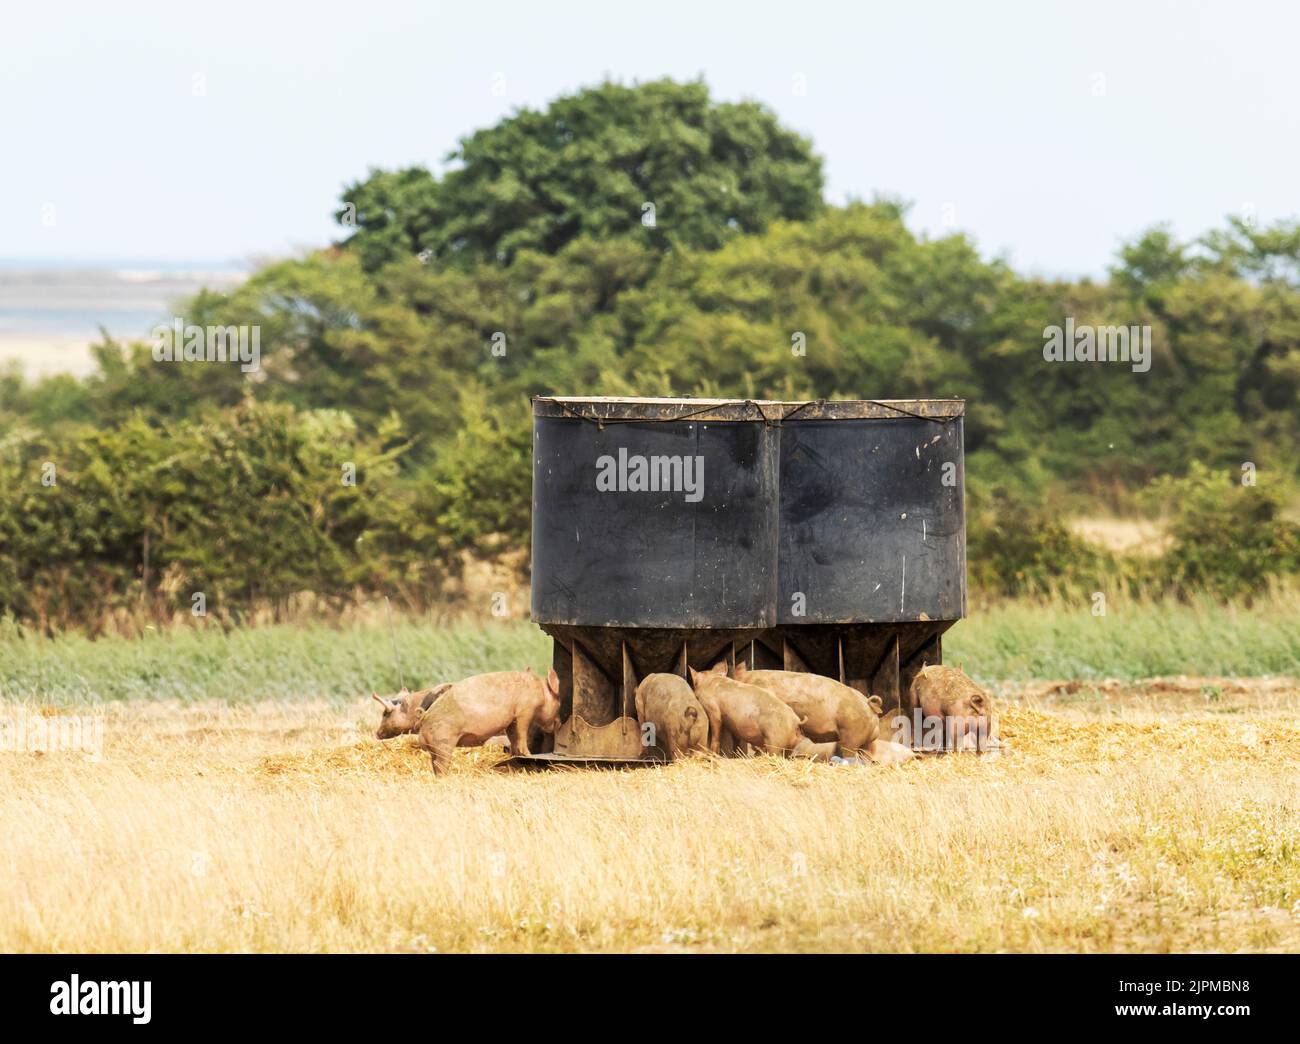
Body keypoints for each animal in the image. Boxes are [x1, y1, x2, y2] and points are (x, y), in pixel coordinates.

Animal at [418, 668, 562, 773]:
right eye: (559, 704)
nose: (559, 723)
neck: (541, 691)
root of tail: (424, 720)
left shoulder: (511, 720)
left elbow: (513, 736)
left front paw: (515, 754)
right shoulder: (524, 711)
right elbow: (521, 733)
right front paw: (528, 755)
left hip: (436, 747)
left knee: (433, 763)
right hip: (443, 742)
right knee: (440, 763)